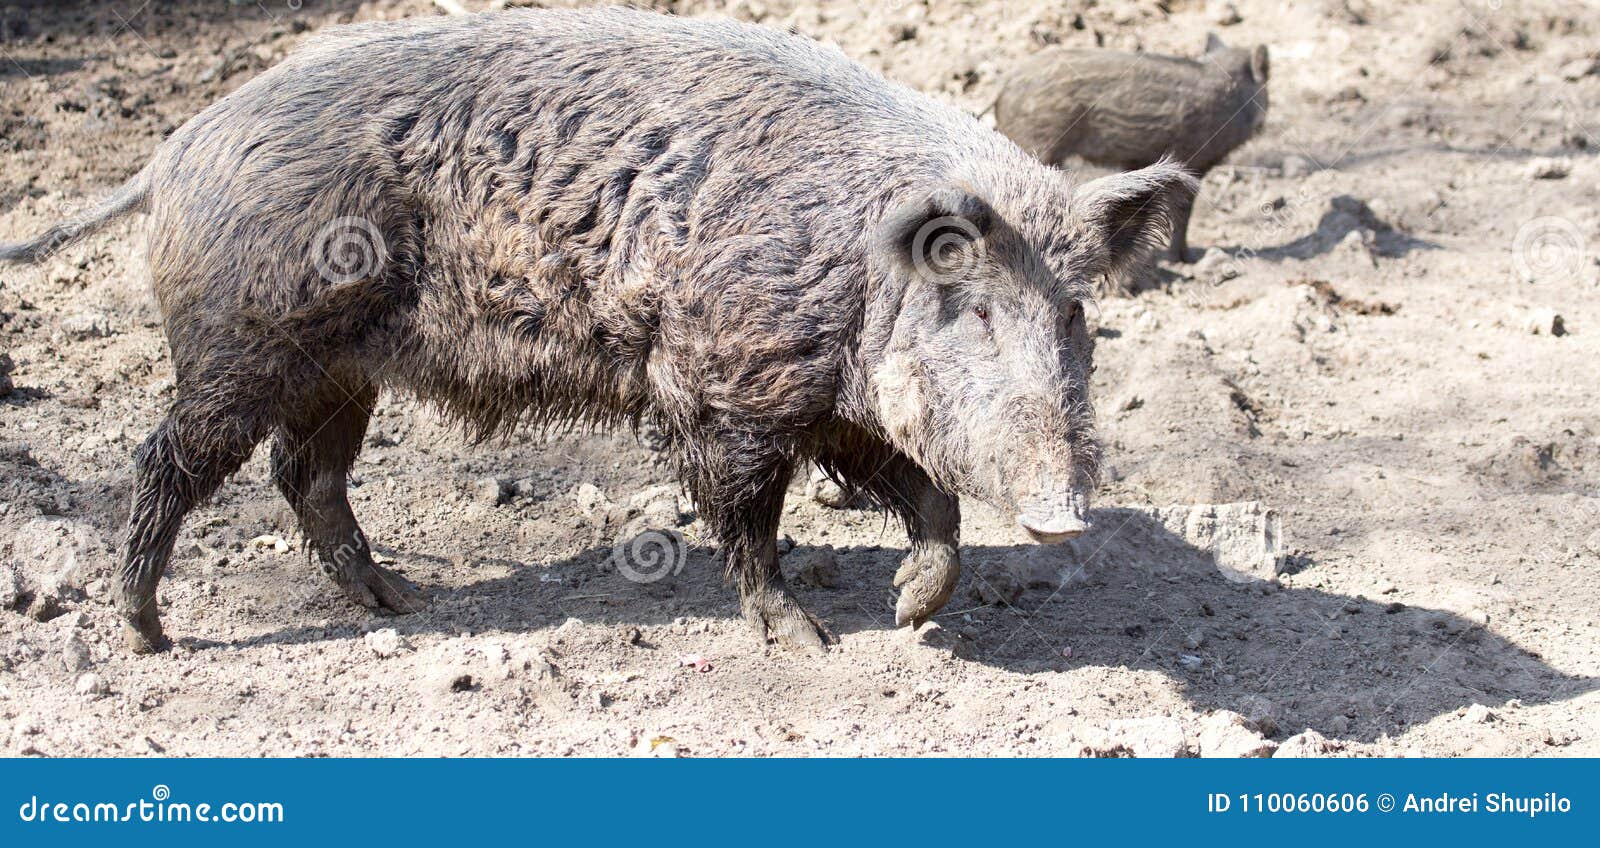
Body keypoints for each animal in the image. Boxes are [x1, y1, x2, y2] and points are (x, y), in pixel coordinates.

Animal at [0, 8, 1194, 654]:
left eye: (1076, 313)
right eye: (975, 309)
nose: (1065, 515)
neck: (852, 273)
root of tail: (177, 149)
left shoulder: (823, 398)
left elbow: (927, 495)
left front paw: (907, 614)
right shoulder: (722, 385)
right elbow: (747, 520)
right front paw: (806, 636)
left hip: (341, 370)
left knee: (308, 473)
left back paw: (404, 599)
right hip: (240, 346)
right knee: (168, 458)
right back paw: (149, 632)